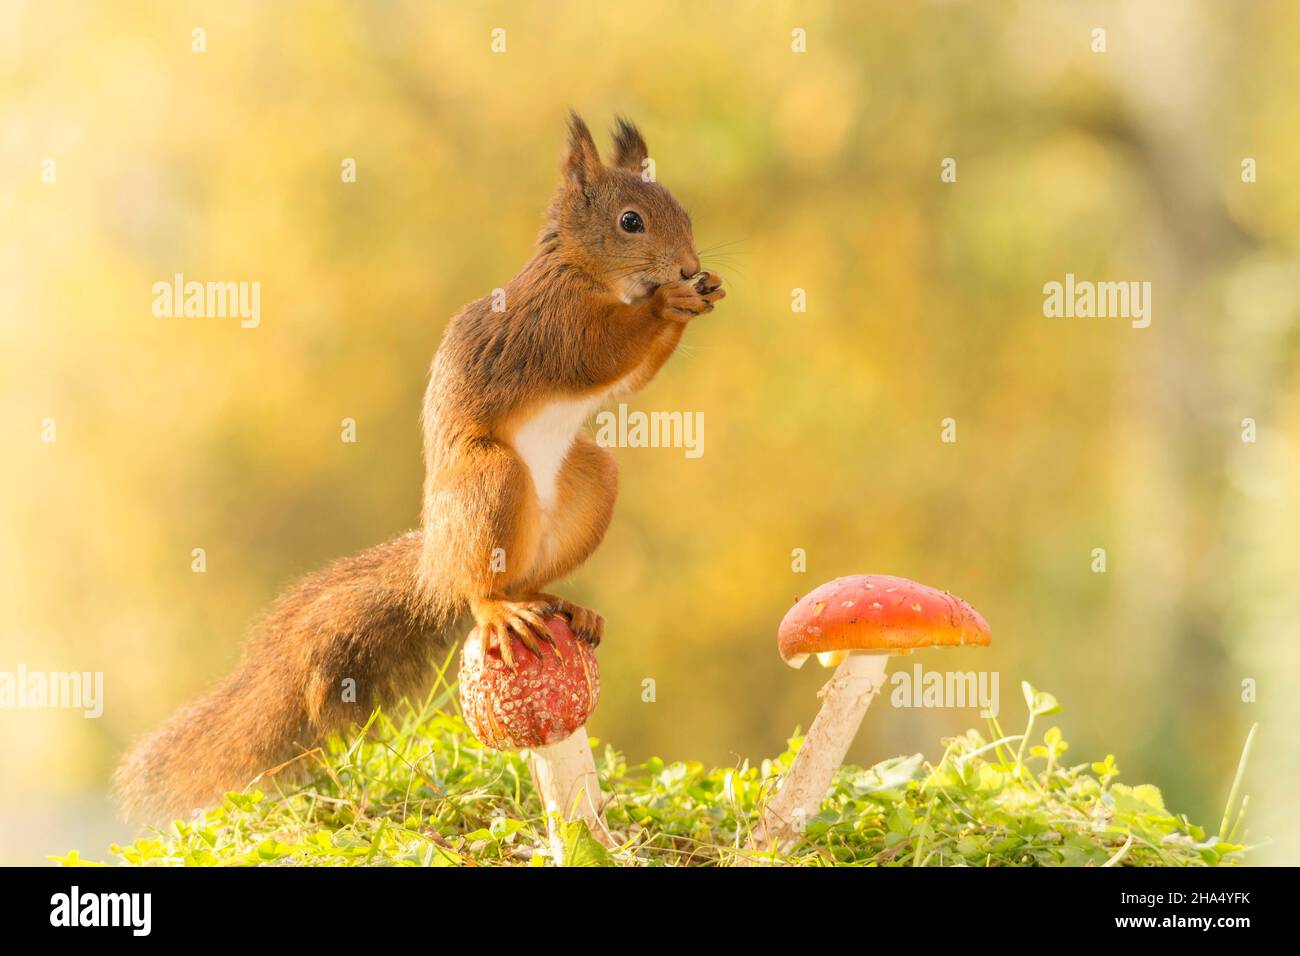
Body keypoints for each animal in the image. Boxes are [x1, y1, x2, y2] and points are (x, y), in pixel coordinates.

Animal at [114, 113, 725, 821]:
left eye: (682, 212)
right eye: (631, 221)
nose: (690, 267)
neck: (585, 269)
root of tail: (436, 561)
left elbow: (632, 379)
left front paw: (705, 292)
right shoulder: (552, 321)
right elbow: (600, 351)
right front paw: (668, 303)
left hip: (591, 480)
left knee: (525, 575)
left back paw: (562, 606)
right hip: (490, 477)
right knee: (480, 588)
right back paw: (500, 611)